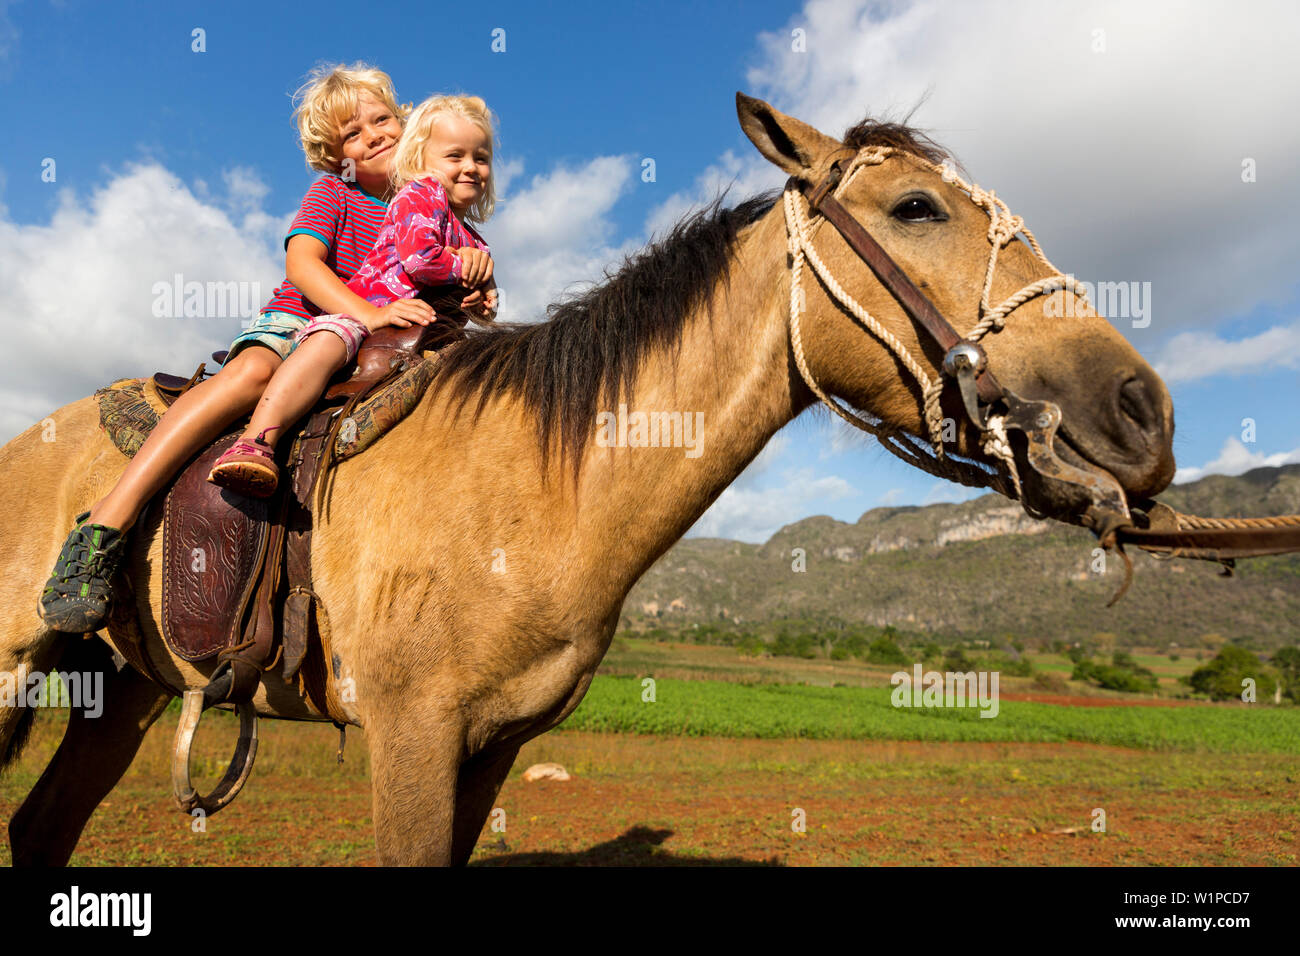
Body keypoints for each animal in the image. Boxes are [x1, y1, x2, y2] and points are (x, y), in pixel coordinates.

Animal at [0, 93, 1174, 865]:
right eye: (919, 208)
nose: (1142, 410)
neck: (531, 485)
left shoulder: (489, 750)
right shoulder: (411, 737)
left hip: (128, 686)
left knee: (41, 825)